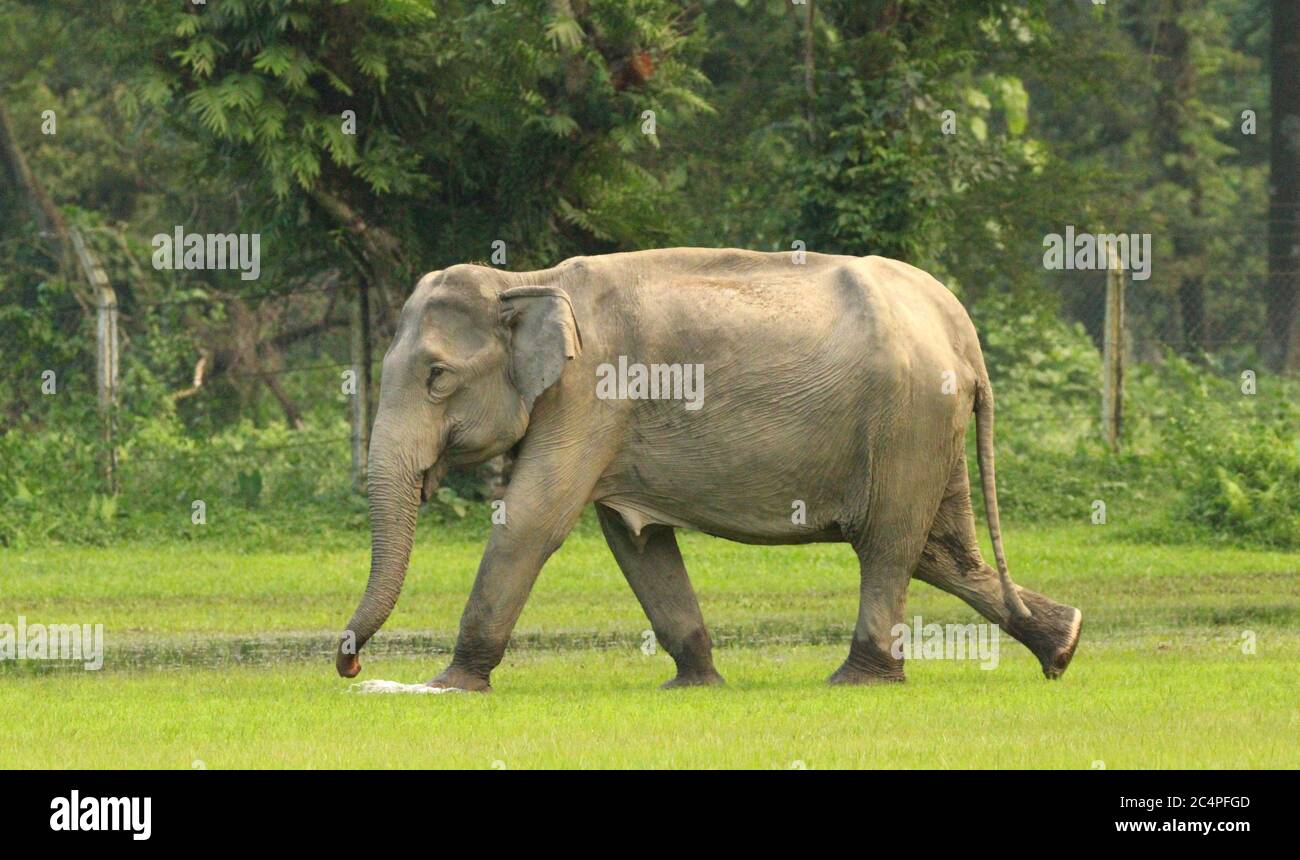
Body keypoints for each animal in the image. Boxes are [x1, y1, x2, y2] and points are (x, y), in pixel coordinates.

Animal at [336, 248, 1082, 690]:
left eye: (436, 378)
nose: (351, 664)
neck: (524, 282)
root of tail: (960, 327)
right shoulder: (606, 418)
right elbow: (635, 541)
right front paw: (695, 684)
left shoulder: (591, 396)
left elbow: (532, 523)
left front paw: (450, 686)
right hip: (929, 427)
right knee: (942, 551)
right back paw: (1064, 645)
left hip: (909, 418)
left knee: (889, 545)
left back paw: (858, 678)